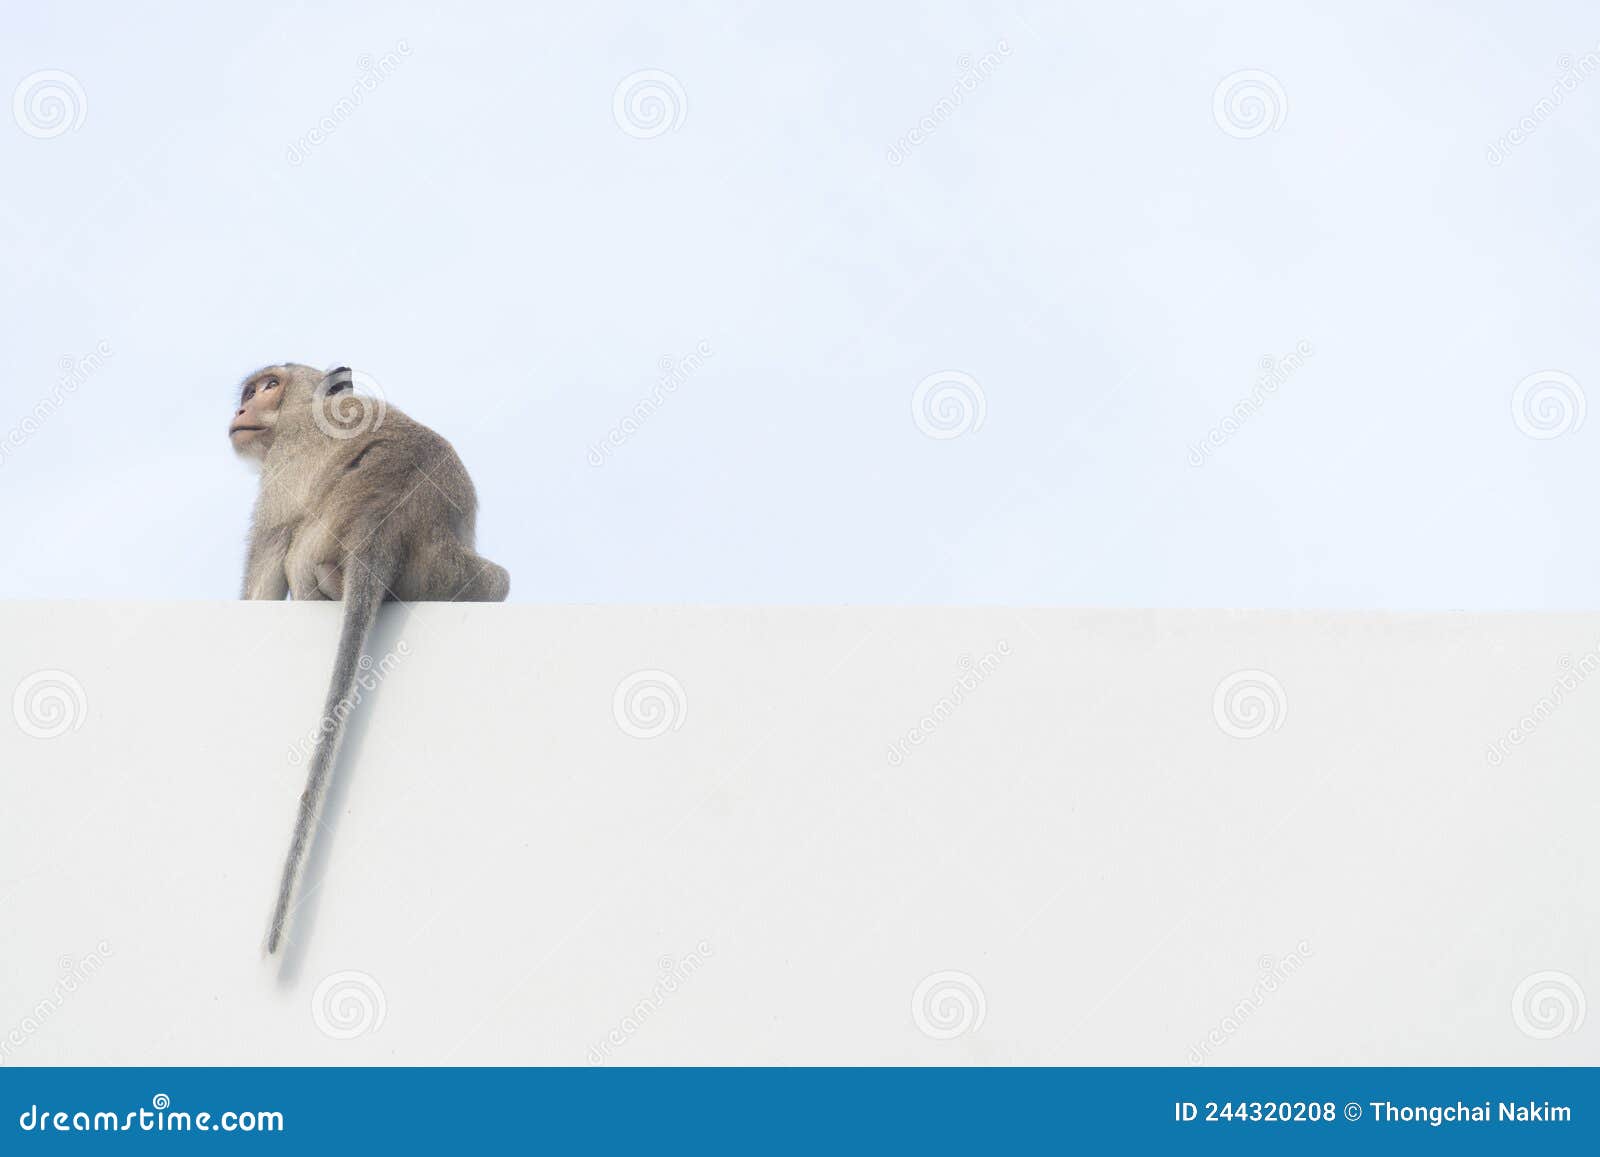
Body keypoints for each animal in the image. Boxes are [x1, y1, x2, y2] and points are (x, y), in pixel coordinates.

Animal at [230, 364, 509, 954]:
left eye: (266, 387)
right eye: (249, 392)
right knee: (499, 584)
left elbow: (266, 562)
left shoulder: (282, 468)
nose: (242, 410)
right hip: (451, 574)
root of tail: (380, 527)